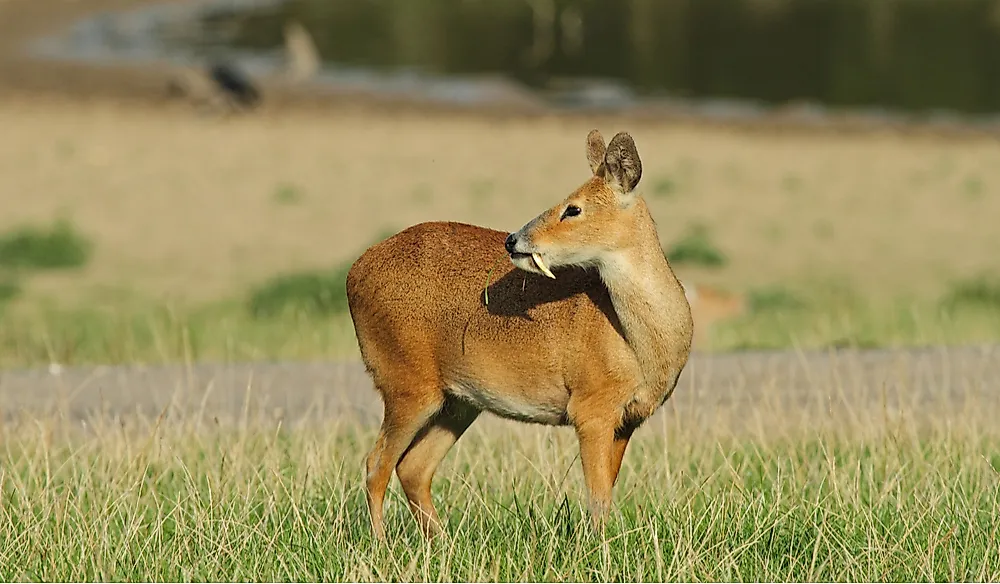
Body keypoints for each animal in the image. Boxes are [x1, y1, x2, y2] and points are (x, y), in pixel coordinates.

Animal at [346, 130, 694, 539]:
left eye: (573, 209)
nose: (513, 239)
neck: (639, 344)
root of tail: (354, 273)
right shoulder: (590, 407)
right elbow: (598, 497)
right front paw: (598, 547)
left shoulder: (628, 419)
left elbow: (607, 489)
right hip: (406, 383)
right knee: (376, 464)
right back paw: (383, 545)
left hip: (457, 402)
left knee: (412, 467)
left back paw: (443, 543)